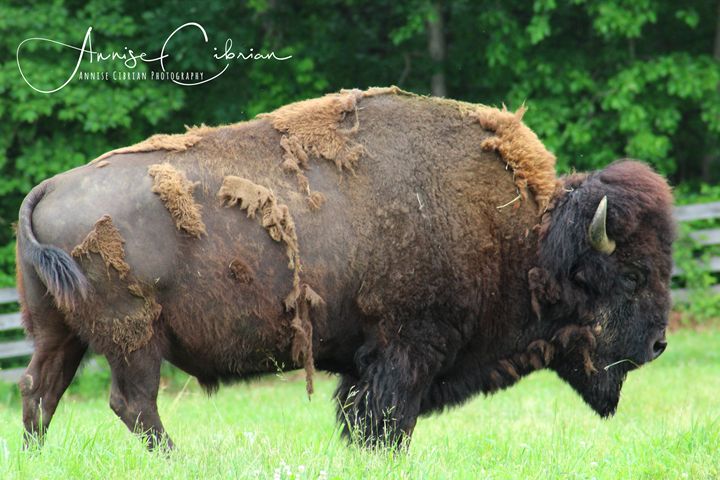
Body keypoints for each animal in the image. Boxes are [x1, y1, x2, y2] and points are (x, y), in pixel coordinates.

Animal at [15, 87, 675, 449]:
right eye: (633, 276)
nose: (660, 344)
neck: (527, 238)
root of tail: (47, 188)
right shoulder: (405, 350)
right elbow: (388, 423)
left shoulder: (370, 363)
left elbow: (363, 421)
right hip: (134, 337)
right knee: (132, 405)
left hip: (59, 333)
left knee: (38, 391)